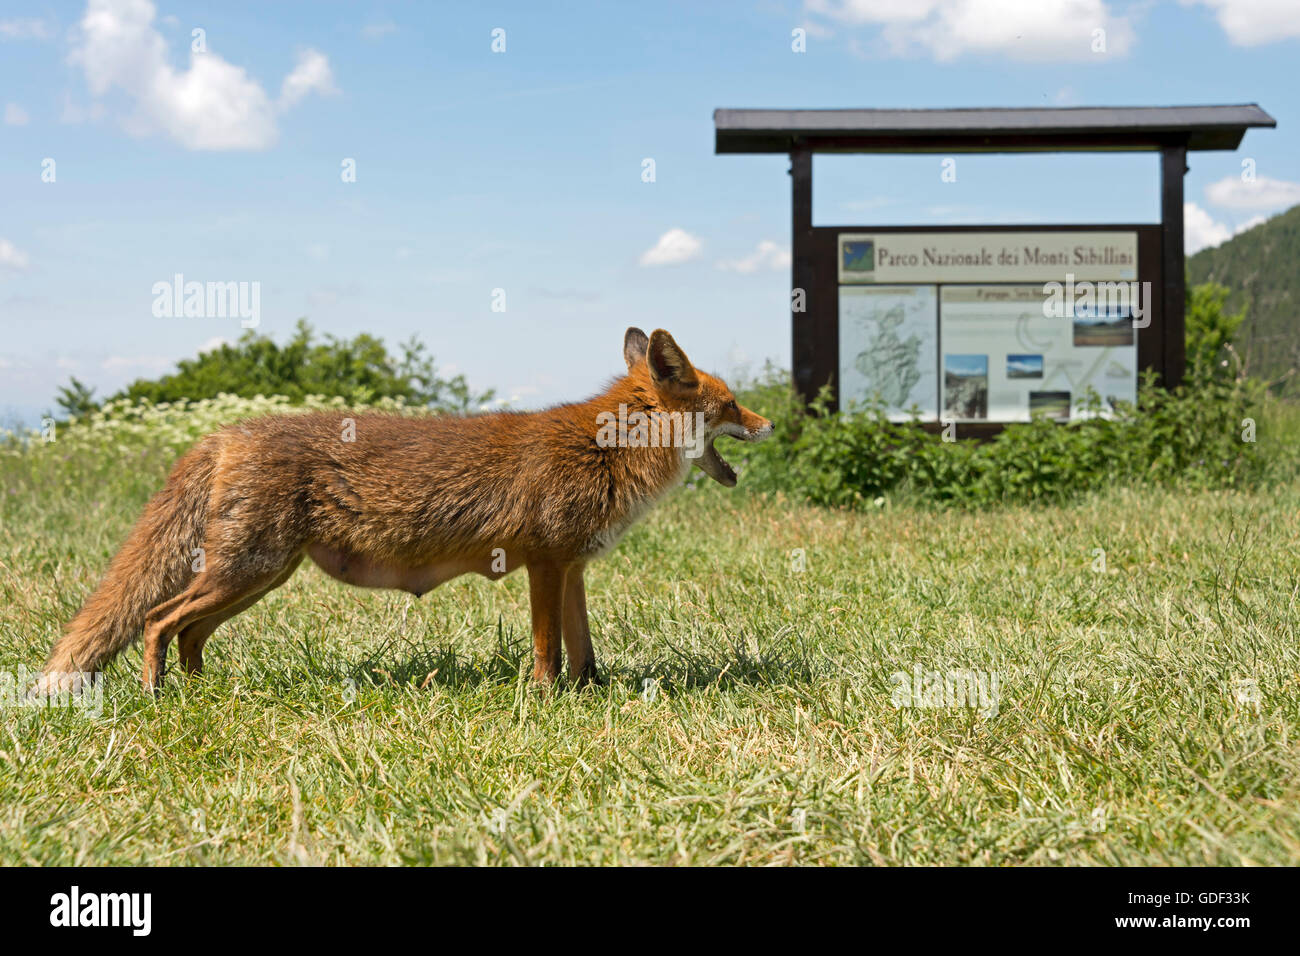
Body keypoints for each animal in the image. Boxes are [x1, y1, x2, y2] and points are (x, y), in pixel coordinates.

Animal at [37, 328, 773, 693]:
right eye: (733, 403)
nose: (769, 424)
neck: (605, 450)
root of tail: (227, 432)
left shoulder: (572, 569)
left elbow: (584, 651)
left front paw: (590, 696)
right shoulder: (543, 562)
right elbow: (547, 650)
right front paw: (544, 703)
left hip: (257, 578)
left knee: (189, 634)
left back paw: (205, 695)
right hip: (246, 571)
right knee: (158, 622)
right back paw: (162, 698)